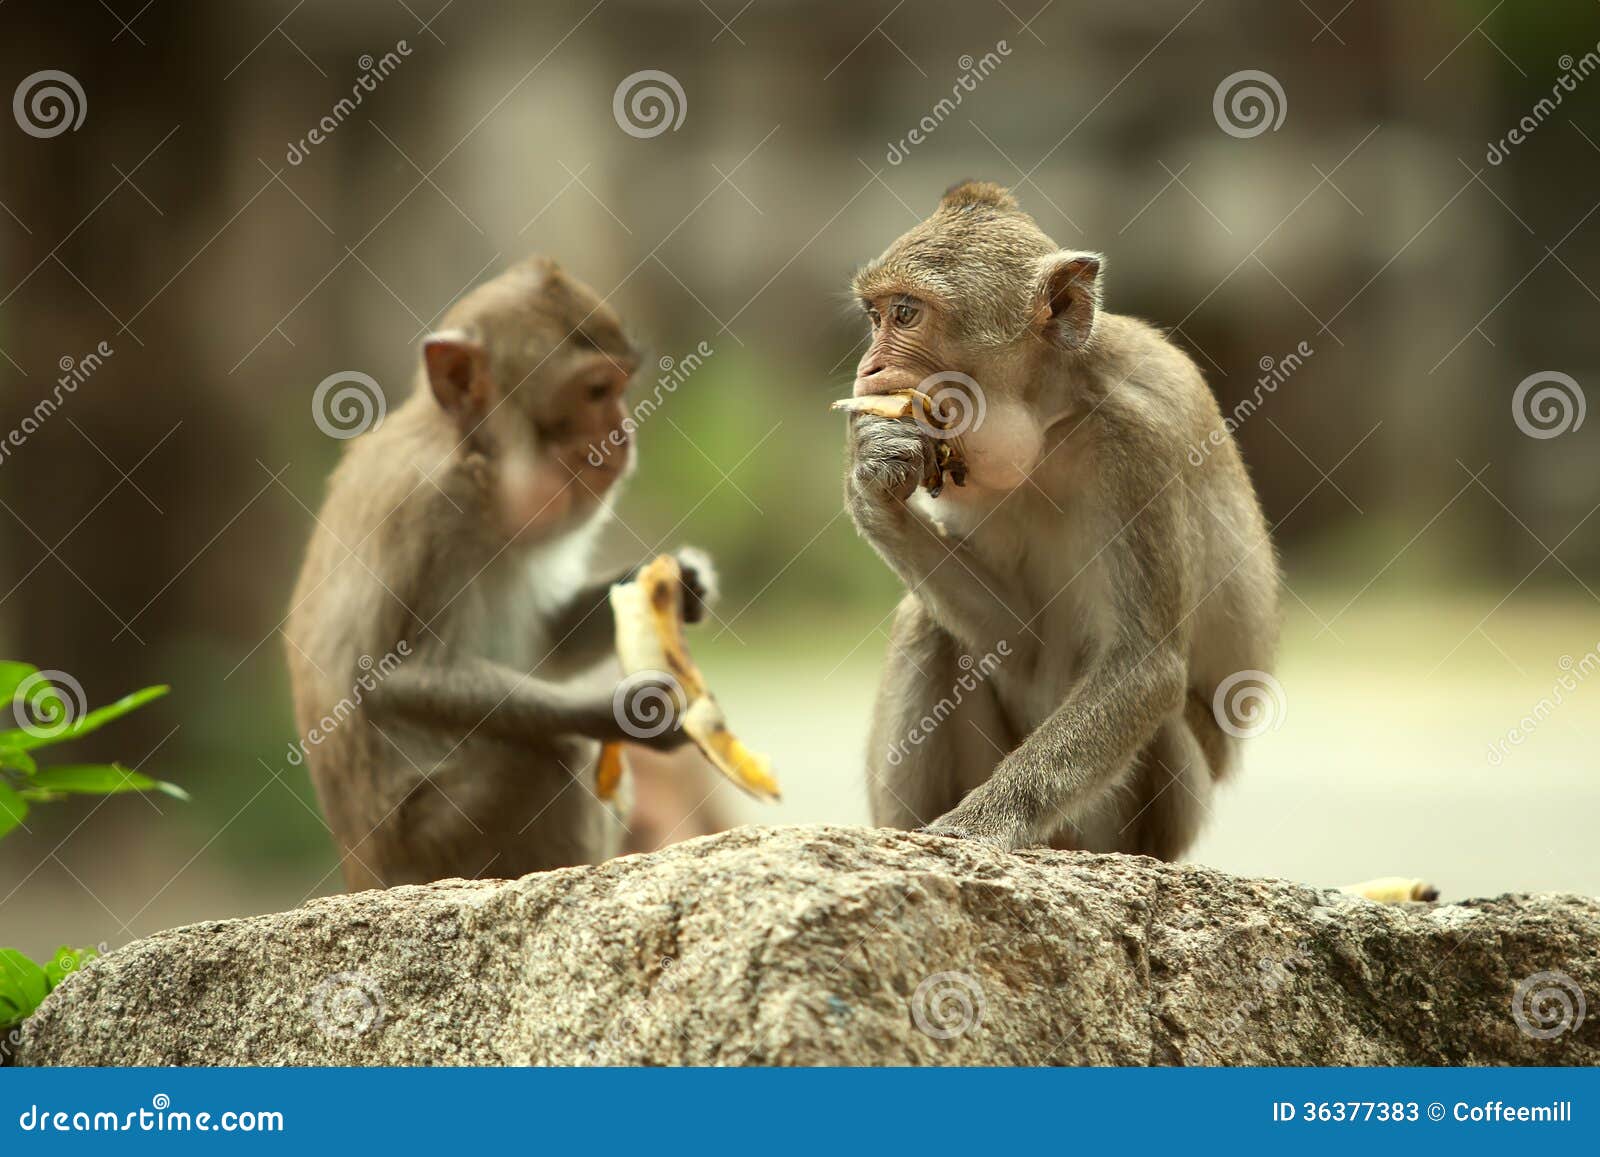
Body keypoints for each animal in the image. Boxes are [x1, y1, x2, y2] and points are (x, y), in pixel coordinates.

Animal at [285, 255, 719, 890]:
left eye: (619, 388)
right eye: (595, 391)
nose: (624, 433)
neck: (476, 462)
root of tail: (363, 873)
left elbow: (546, 642)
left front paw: (684, 581)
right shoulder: (428, 512)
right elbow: (395, 677)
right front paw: (620, 710)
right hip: (431, 847)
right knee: (553, 757)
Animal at [845, 181, 1280, 860]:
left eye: (907, 314)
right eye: (875, 315)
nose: (867, 370)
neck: (1051, 415)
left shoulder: (1140, 441)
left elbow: (1143, 665)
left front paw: (979, 825)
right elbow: (1015, 638)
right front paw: (874, 470)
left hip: (1170, 813)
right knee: (928, 622)